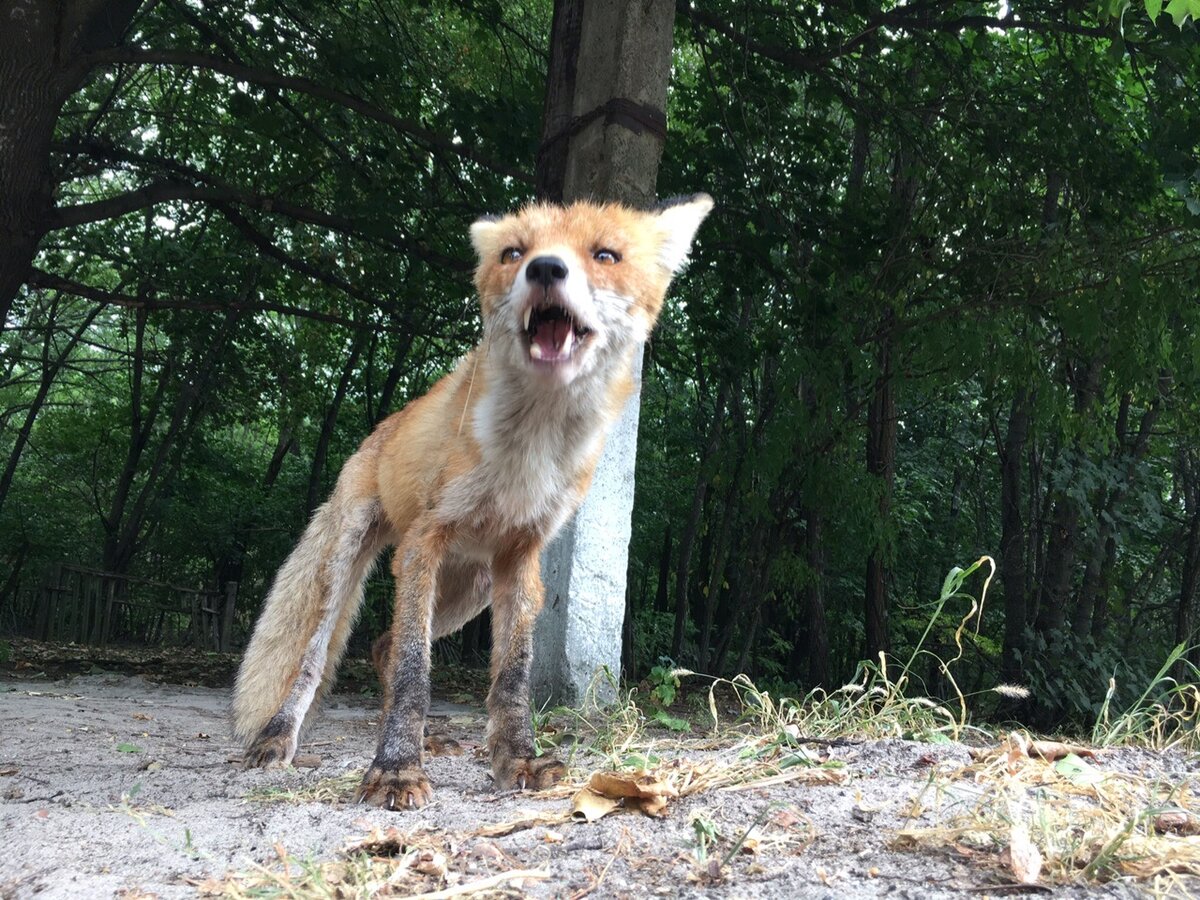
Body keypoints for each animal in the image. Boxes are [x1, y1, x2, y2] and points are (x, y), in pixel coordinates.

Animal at [231, 192, 710, 811]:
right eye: (515, 253)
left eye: (605, 254)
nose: (546, 269)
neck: (528, 455)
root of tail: (378, 431)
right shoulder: (423, 542)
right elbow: (415, 674)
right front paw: (395, 769)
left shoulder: (521, 558)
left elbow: (511, 678)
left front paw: (517, 759)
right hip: (359, 567)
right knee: (319, 659)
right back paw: (279, 738)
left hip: (467, 591)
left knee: (383, 645)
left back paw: (427, 739)